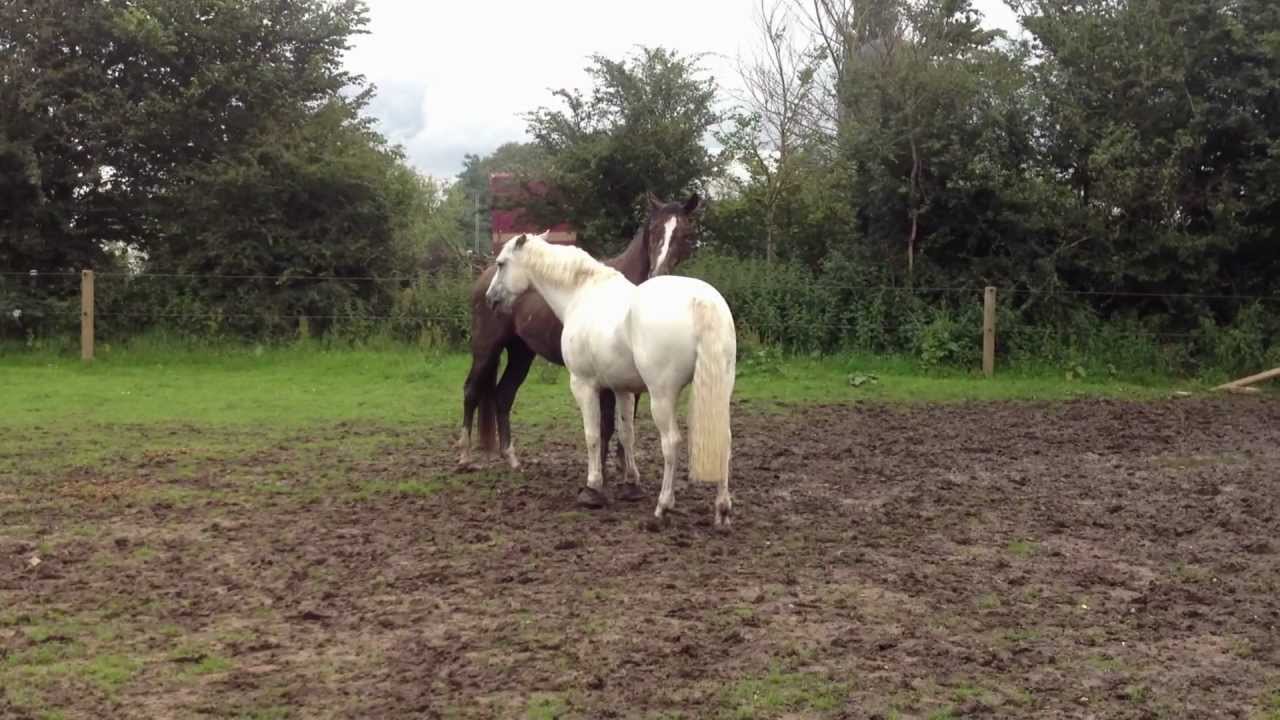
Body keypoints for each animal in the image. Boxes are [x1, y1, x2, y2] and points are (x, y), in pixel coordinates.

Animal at [458, 192, 703, 502]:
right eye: (655, 229)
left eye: (684, 233)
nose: (659, 273)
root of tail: (483, 281)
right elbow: (605, 426)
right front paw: (603, 477)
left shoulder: (630, 382)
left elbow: (625, 426)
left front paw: (624, 474)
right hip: (486, 349)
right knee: (471, 391)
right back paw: (465, 457)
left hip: (521, 354)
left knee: (503, 396)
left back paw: (512, 459)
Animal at [484, 230, 737, 527]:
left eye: (501, 264)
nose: (491, 299)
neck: (581, 294)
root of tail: (702, 301)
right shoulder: (622, 390)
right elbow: (627, 435)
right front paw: (631, 483)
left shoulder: (583, 385)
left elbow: (593, 434)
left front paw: (593, 488)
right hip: (719, 390)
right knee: (724, 440)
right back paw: (722, 509)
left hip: (662, 396)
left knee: (671, 443)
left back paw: (663, 506)